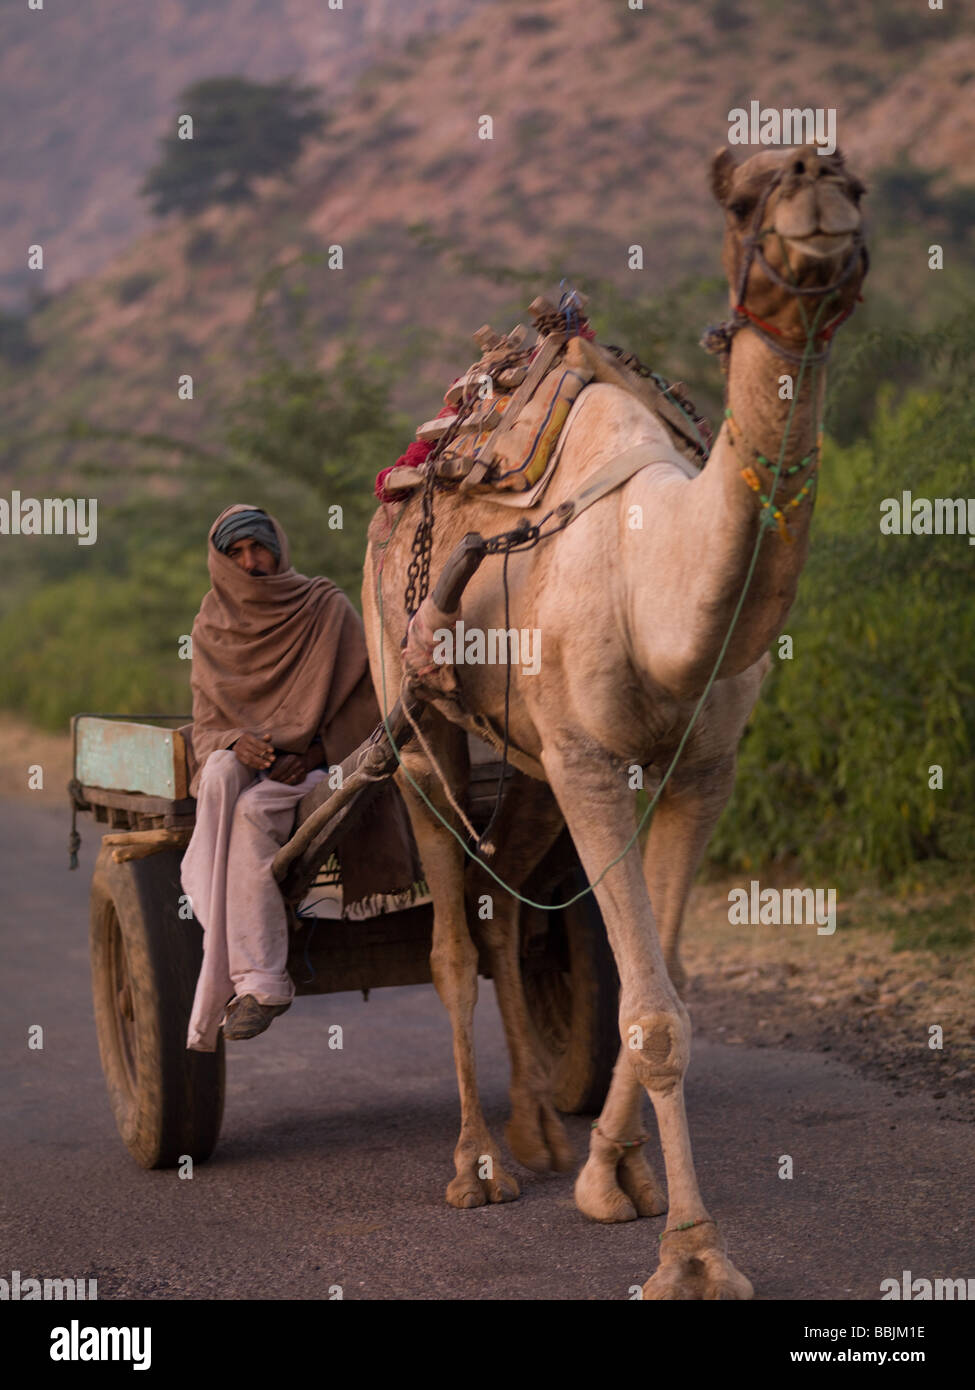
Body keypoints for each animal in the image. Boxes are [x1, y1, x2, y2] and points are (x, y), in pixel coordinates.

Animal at [362, 143, 867, 1299]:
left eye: (857, 185)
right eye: (742, 194)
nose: (813, 184)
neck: (652, 582)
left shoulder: (704, 764)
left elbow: (668, 982)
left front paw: (611, 1175)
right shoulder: (592, 761)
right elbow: (650, 1013)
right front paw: (692, 1254)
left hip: (527, 766)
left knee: (503, 913)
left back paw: (540, 1134)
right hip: (412, 720)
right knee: (448, 936)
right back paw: (478, 1165)